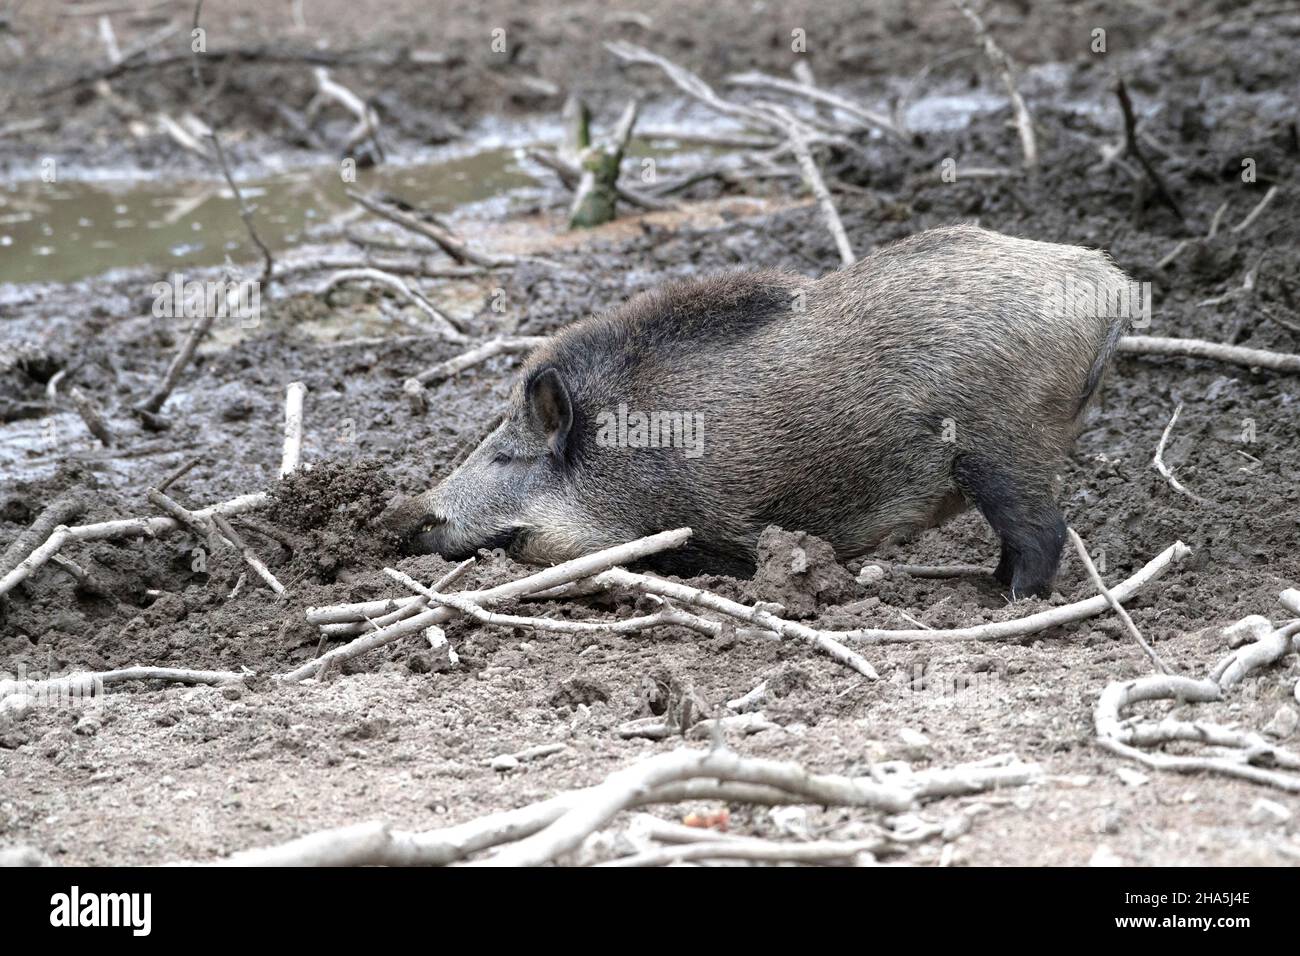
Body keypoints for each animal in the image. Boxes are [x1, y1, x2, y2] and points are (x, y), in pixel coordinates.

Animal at [397, 225, 1134, 597]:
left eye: (504, 456)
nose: (403, 517)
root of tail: (1107, 282)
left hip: (1005, 446)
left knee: (1044, 533)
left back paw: (1004, 602)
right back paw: (986, 586)